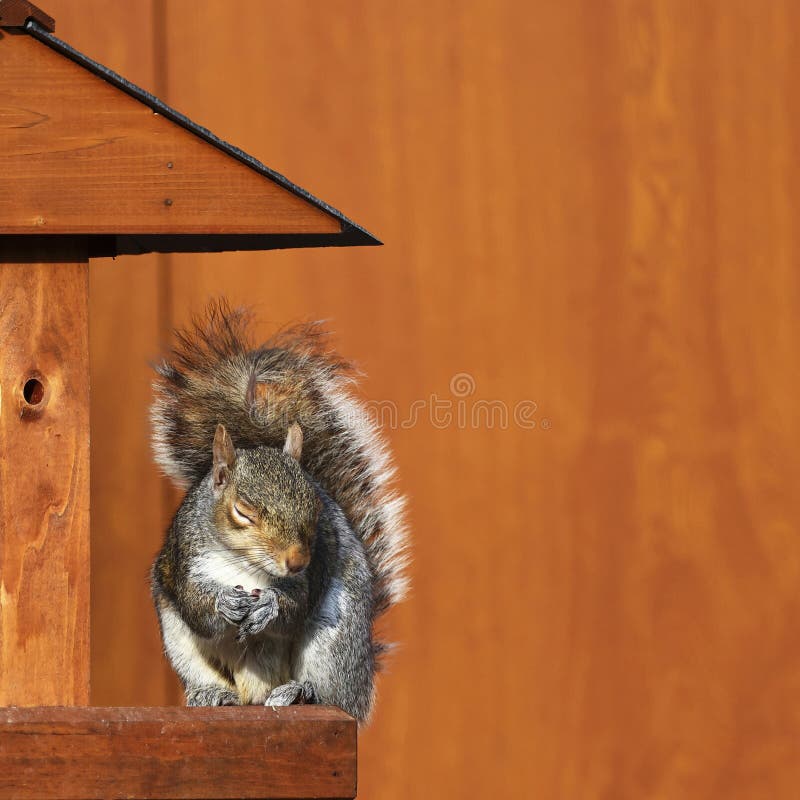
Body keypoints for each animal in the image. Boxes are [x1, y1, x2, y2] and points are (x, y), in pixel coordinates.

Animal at [149, 301, 409, 722]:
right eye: (242, 511)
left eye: (316, 506)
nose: (297, 561)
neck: (246, 564)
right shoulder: (184, 554)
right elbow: (195, 604)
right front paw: (224, 602)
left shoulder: (312, 571)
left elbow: (295, 607)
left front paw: (270, 606)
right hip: (179, 641)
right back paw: (211, 693)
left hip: (336, 637)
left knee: (329, 690)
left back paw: (301, 691)